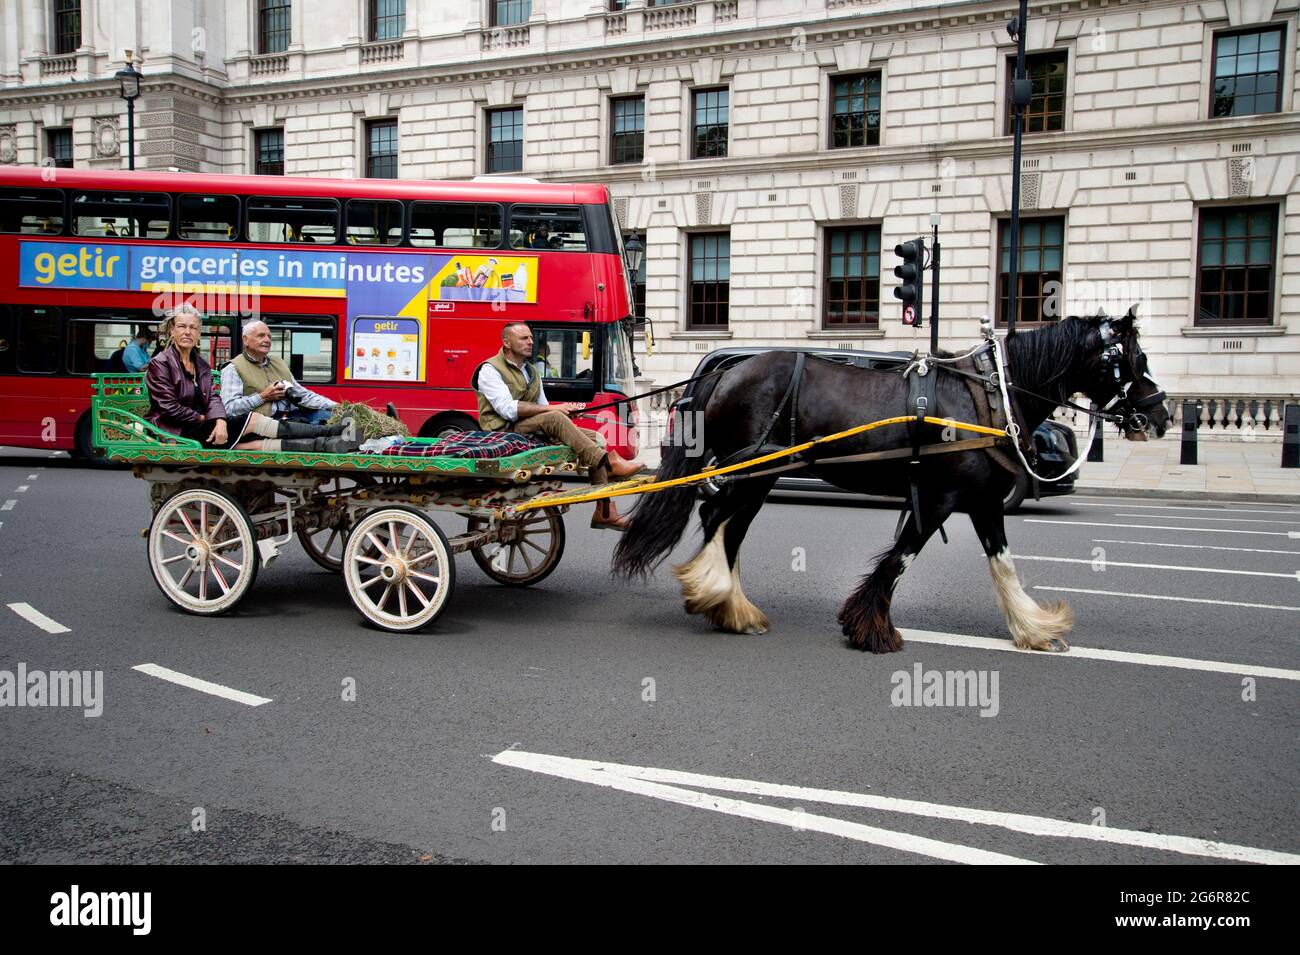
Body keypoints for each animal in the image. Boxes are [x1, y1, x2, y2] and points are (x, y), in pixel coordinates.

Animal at [612, 308, 1170, 653]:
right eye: (1133, 361)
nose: (1160, 415)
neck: (990, 399)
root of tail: (723, 370)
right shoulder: (941, 499)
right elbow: (899, 559)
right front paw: (870, 628)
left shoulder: (983, 501)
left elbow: (1003, 565)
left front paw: (1032, 628)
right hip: (752, 472)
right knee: (722, 521)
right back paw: (721, 598)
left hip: (756, 474)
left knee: (722, 522)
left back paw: (725, 604)